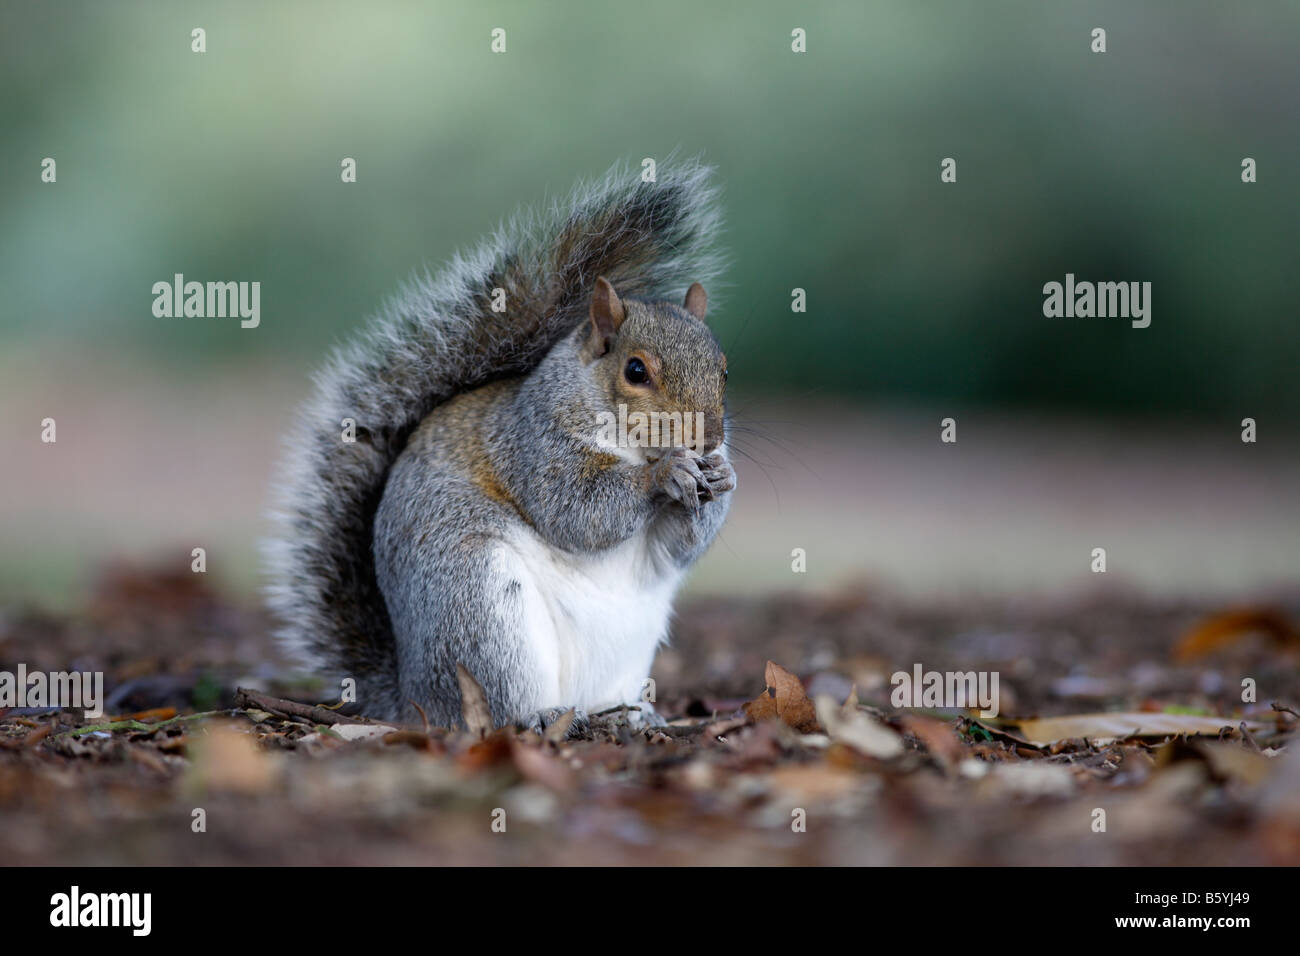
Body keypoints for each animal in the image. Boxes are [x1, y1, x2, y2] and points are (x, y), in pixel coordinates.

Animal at [263, 159, 734, 733]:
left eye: (724, 371)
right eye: (636, 370)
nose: (708, 439)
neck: (630, 444)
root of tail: (412, 698)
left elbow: (677, 548)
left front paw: (720, 477)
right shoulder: (535, 442)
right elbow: (575, 510)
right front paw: (665, 474)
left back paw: (632, 716)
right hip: (479, 607)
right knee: (498, 705)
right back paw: (542, 716)